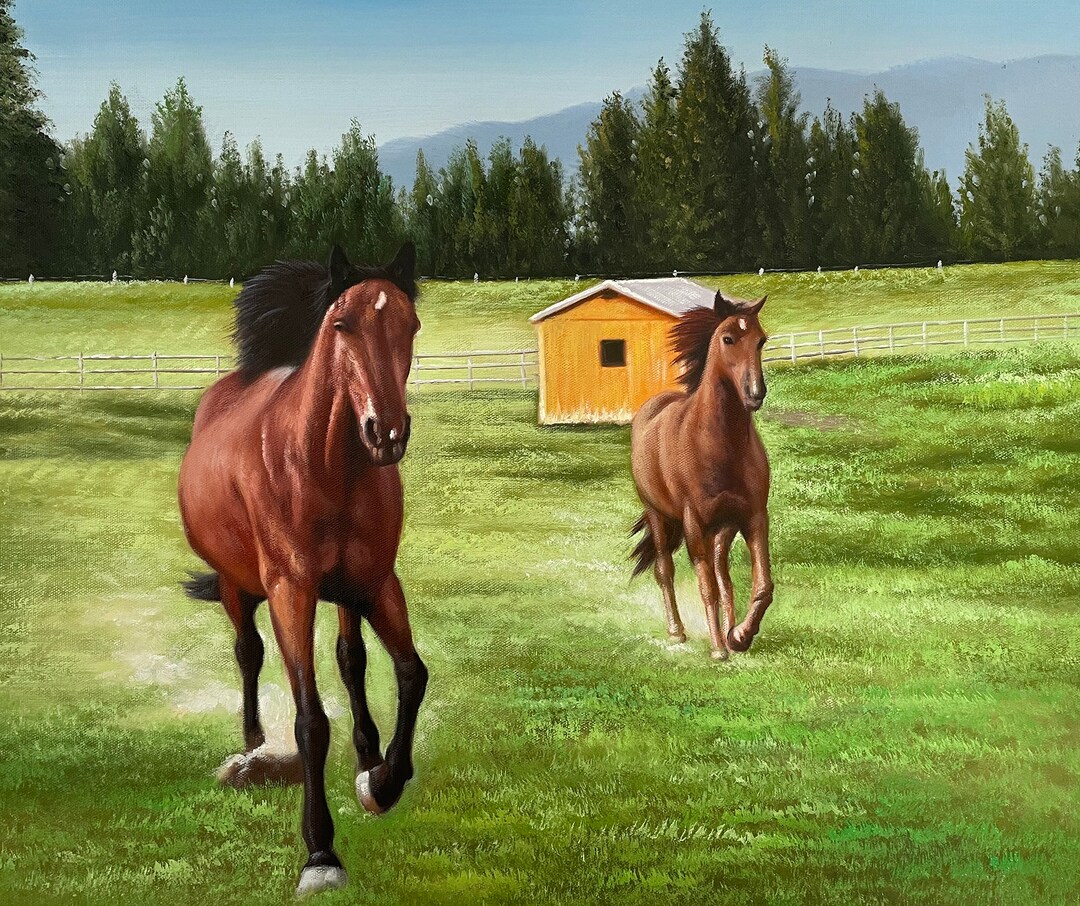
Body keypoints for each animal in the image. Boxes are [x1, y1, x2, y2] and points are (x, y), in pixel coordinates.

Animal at [177, 241, 426, 897]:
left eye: (411, 325)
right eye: (342, 325)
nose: (386, 432)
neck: (322, 463)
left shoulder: (376, 583)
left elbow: (411, 675)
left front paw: (381, 783)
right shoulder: (292, 591)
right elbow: (311, 720)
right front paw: (320, 853)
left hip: (346, 595)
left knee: (351, 660)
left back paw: (368, 757)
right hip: (239, 588)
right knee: (248, 655)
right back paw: (253, 751)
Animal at [629, 291, 774, 661]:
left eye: (761, 340)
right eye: (728, 339)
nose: (755, 393)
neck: (719, 445)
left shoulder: (753, 517)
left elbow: (762, 585)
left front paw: (739, 636)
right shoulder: (693, 520)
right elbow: (705, 585)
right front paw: (719, 649)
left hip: (721, 529)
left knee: (723, 576)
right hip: (660, 516)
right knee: (665, 570)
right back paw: (677, 631)